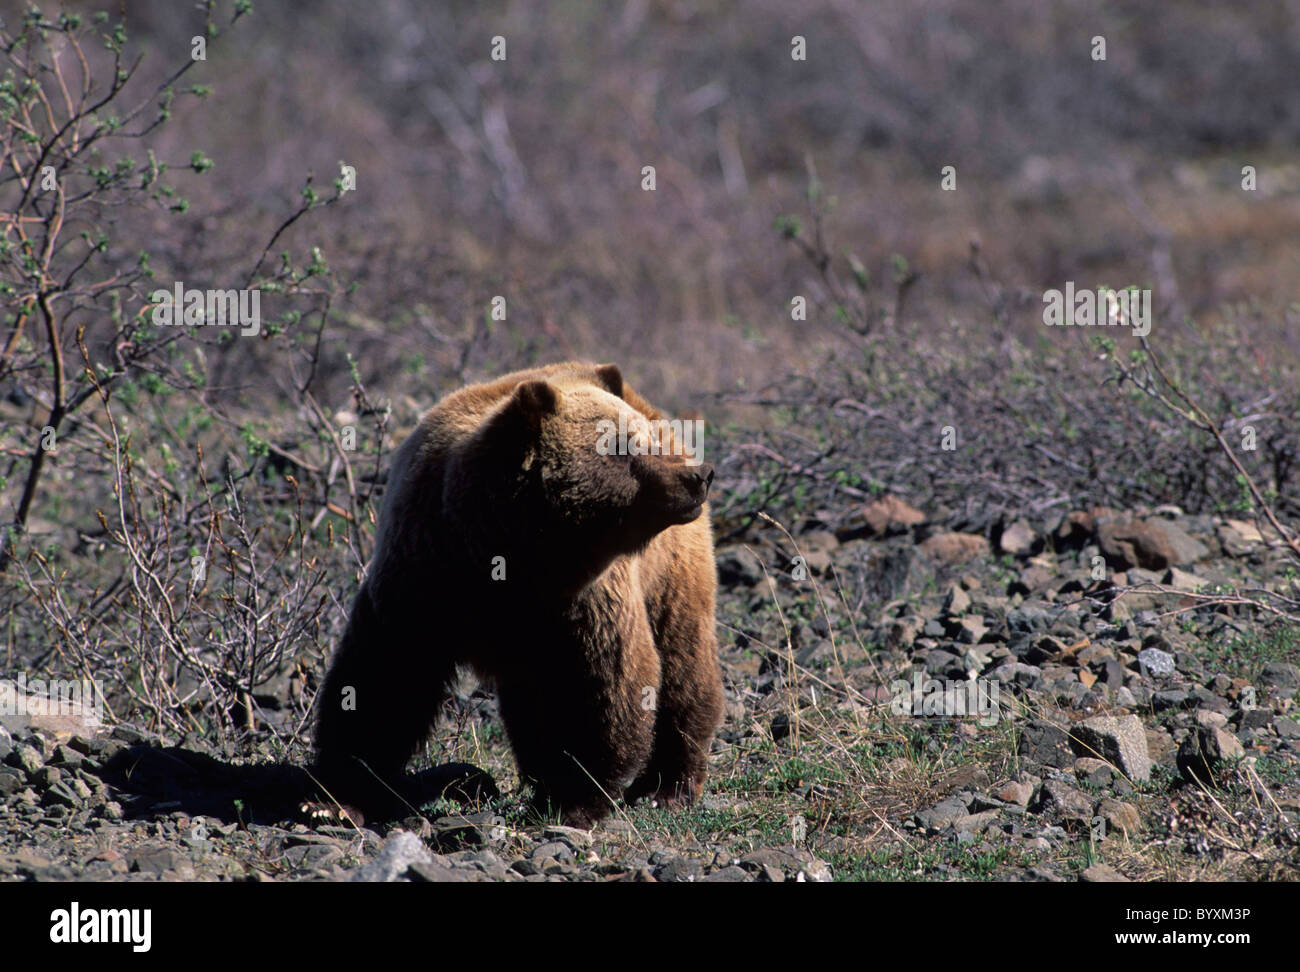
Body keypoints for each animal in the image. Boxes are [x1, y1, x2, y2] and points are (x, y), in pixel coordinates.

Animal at [311, 361, 723, 827]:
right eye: (625, 444)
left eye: (646, 437)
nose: (698, 474)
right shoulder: (424, 572)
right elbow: (383, 673)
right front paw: (339, 795)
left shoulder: (587, 600)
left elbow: (603, 683)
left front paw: (579, 797)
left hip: (672, 571)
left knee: (683, 664)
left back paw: (669, 786)